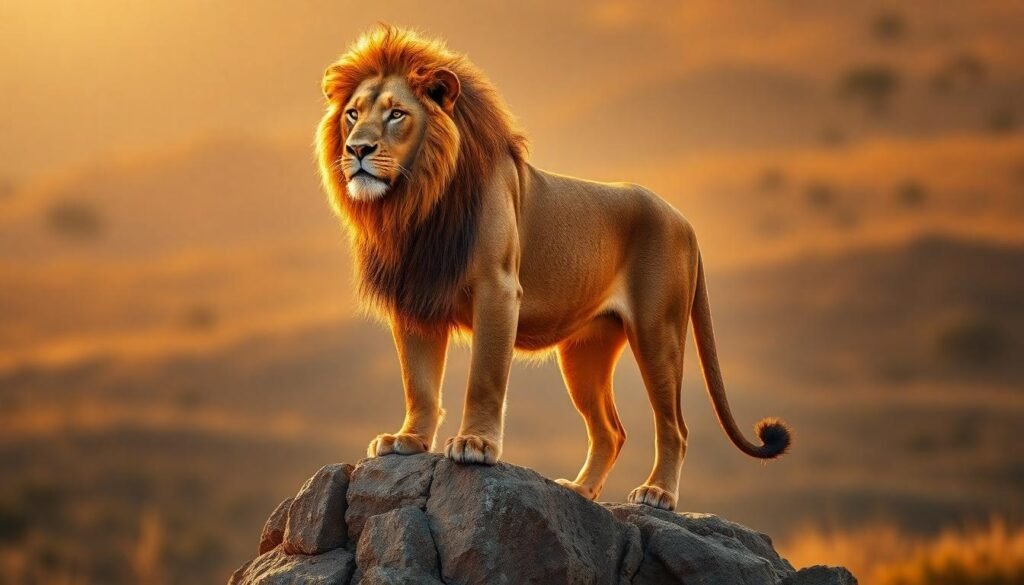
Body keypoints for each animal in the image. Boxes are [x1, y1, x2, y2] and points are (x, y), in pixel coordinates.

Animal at [316, 26, 790, 511]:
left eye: (396, 114)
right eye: (352, 114)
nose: (357, 149)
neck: (415, 201)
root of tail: (685, 221)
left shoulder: (498, 287)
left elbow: (484, 375)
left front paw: (476, 444)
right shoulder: (416, 294)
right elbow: (419, 382)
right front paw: (408, 440)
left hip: (659, 331)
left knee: (675, 427)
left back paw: (657, 493)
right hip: (585, 351)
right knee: (611, 431)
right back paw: (580, 490)